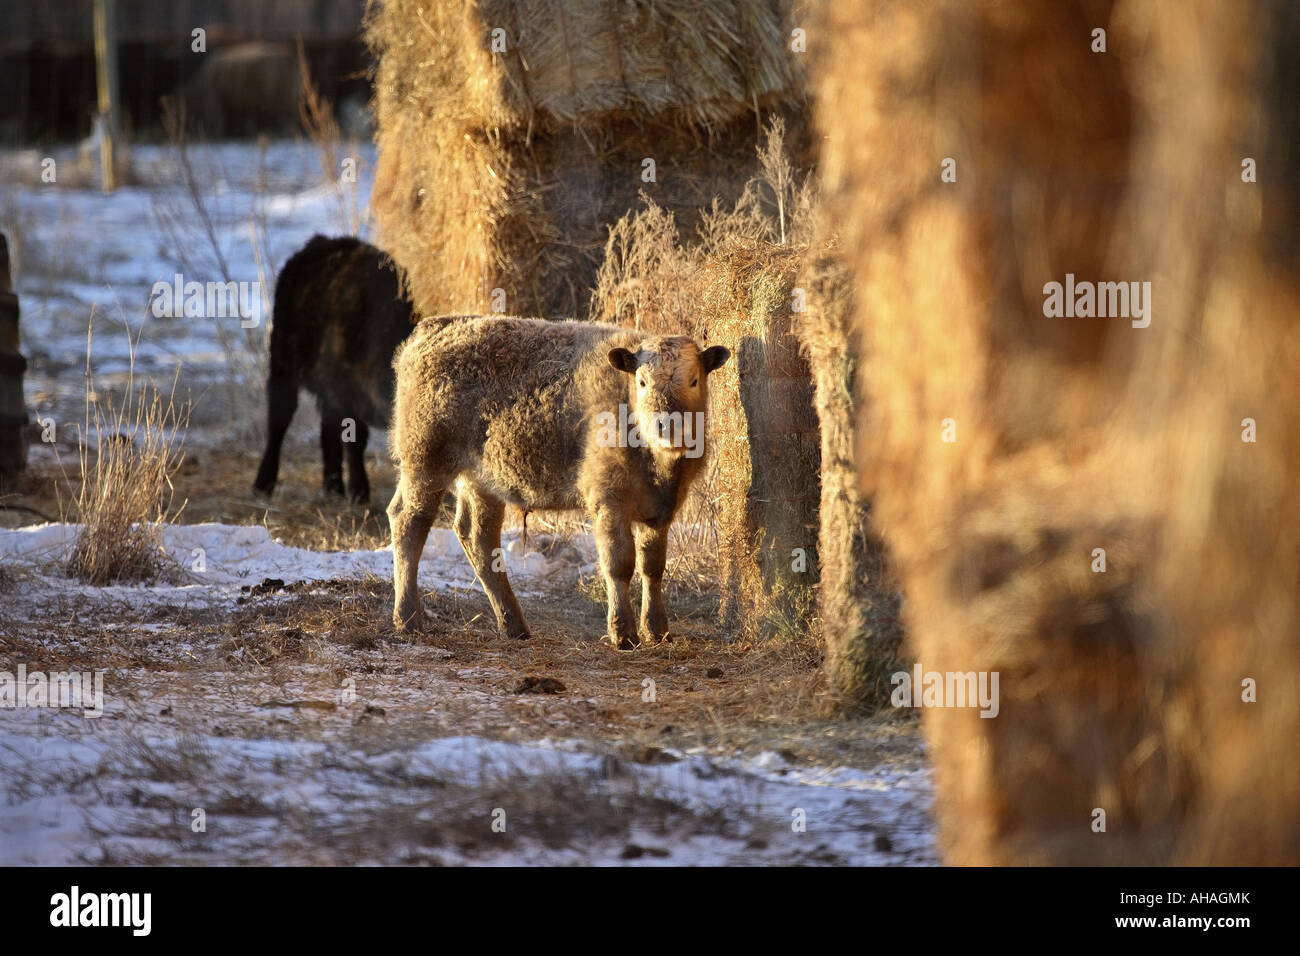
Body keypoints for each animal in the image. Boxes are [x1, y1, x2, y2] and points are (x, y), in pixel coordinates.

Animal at [252, 235, 414, 504]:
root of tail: (319, 244)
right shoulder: (345, 394)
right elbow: (355, 440)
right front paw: (359, 491)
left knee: (326, 432)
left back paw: (332, 486)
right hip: (282, 368)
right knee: (278, 423)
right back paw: (263, 483)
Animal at [387, 315, 729, 648]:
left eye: (693, 380)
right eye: (643, 382)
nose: (667, 425)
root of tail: (432, 328)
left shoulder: (659, 513)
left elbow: (653, 567)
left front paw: (658, 631)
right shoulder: (609, 504)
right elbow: (619, 565)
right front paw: (623, 633)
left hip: (481, 481)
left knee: (478, 537)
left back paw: (514, 625)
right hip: (425, 464)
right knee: (409, 523)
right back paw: (408, 619)